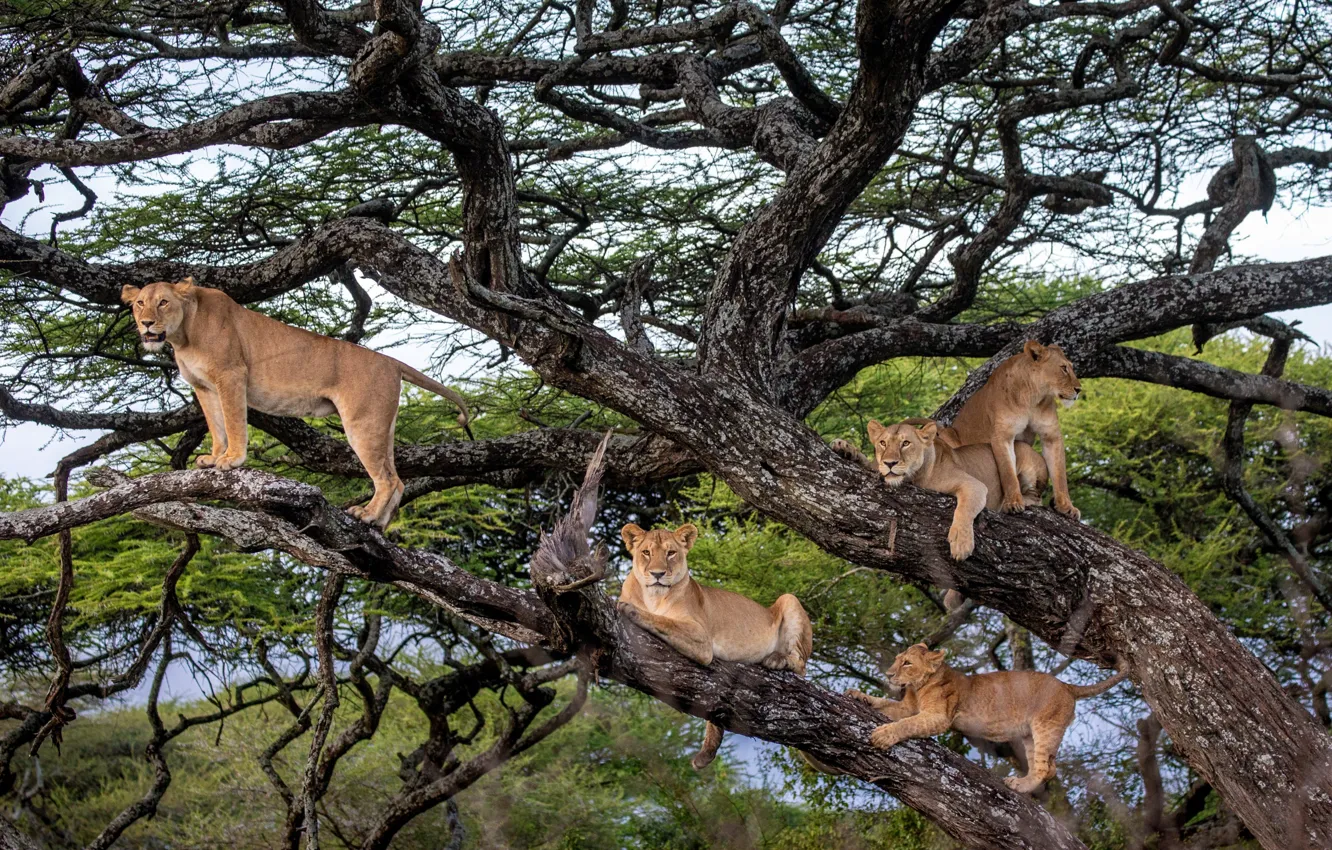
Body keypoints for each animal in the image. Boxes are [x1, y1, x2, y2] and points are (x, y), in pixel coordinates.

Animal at [121, 278, 470, 529]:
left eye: (163, 302)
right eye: (140, 303)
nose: (147, 323)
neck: (184, 335)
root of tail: (390, 362)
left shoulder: (231, 375)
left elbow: (233, 421)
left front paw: (231, 460)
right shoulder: (204, 387)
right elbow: (216, 426)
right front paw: (213, 457)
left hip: (362, 422)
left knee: (387, 479)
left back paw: (367, 515)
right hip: (383, 426)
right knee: (397, 480)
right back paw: (379, 525)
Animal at [617, 522, 812, 770]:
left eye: (671, 553)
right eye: (646, 553)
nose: (658, 574)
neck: (653, 597)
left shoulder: (702, 638)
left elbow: (663, 621)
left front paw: (631, 610)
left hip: (789, 600)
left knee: (801, 665)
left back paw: (777, 659)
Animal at [832, 417, 1047, 559]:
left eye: (906, 443)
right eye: (882, 443)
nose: (890, 463)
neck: (915, 478)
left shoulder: (974, 485)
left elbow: (964, 509)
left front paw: (961, 543)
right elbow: (869, 464)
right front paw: (844, 447)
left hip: (1024, 457)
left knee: (1037, 497)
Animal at [847, 643, 1126, 794]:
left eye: (907, 663)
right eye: (897, 660)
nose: (888, 674)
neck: (918, 686)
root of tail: (1067, 686)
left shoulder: (939, 716)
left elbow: (906, 723)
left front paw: (883, 735)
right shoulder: (908, 707)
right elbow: (886, 705)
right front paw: (857, 695)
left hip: (1046, 726)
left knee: (1047, 768)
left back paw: (1019, 786)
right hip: (1029, 734)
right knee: (1045, 766)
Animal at [945, 340, 1082, 519]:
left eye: (1071, 367)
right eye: (1064, 368)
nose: (1079, 389)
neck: (1033, 396)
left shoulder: (1051, 435)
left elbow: (1060, 476)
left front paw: (1066, 506)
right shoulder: (1003, 435)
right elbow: (1008, 473)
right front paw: (1013, 503)